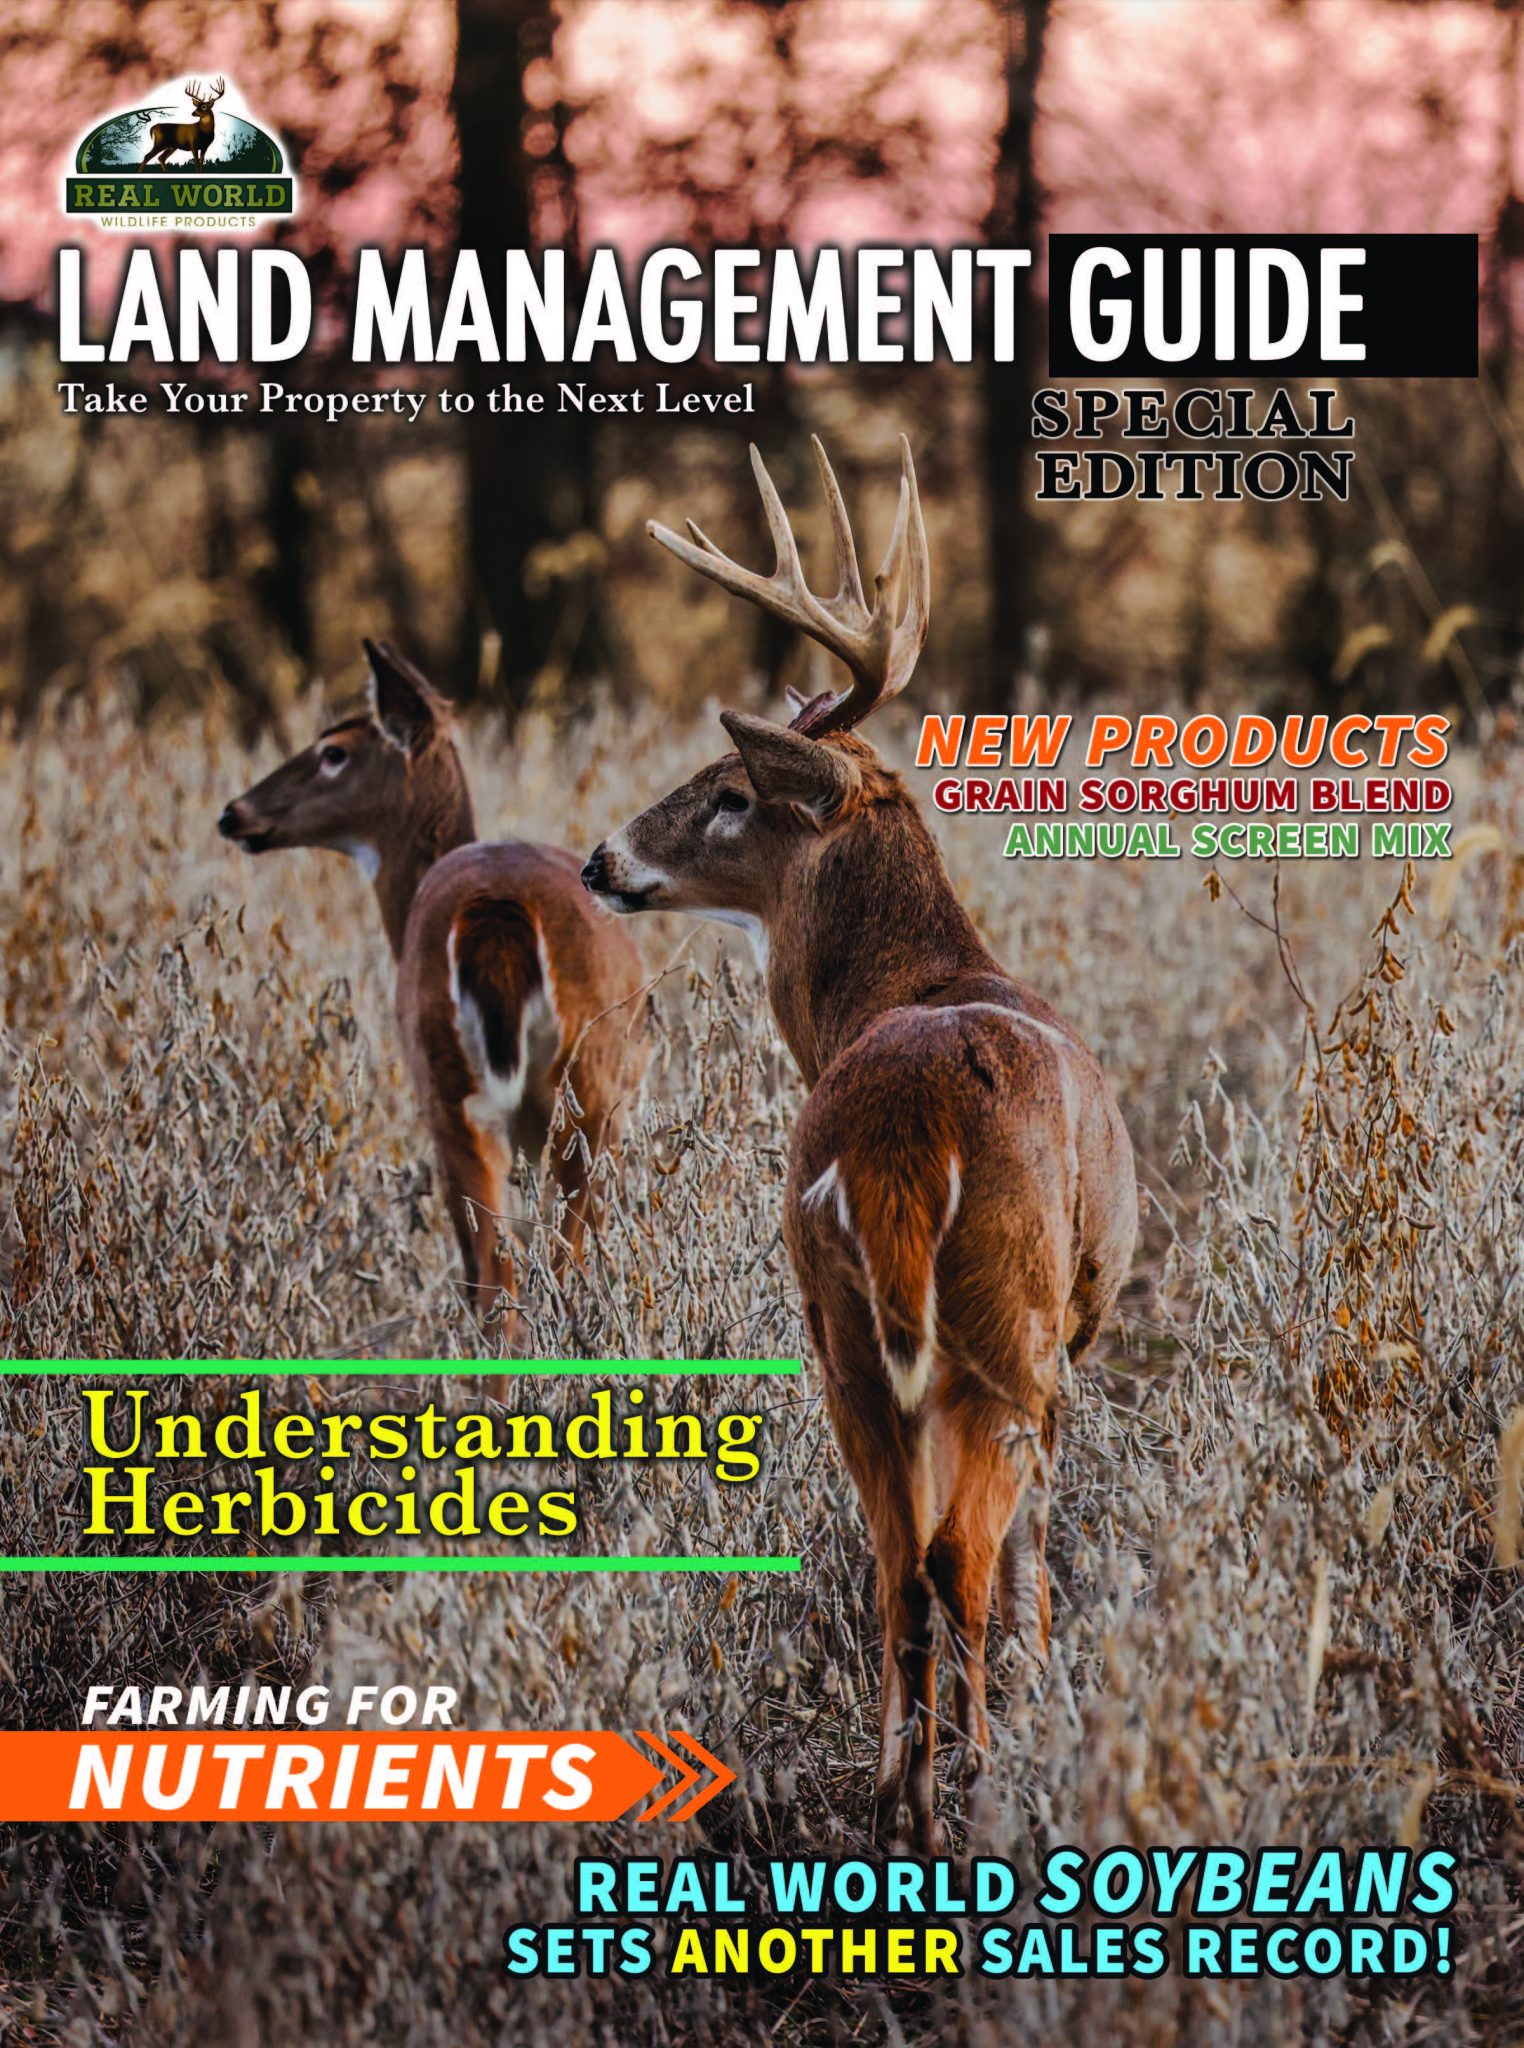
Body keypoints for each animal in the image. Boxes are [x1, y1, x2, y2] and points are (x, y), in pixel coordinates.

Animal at [219, 640, 649, 1311]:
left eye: (333, 751)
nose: (234, 813)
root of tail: (496, 908)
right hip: (579, 1095)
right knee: (542, 1270)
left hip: (459, 1090)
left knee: (500, 1277)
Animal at [581, 438, 1137, 1847]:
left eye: (731, 793)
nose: (599, 856)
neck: (917, 977)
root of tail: (906, 1145)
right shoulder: (1076, 1335)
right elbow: (1037, 1546)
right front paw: (1046, 1694)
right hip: (1000, 1330)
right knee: (958, 1558)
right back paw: (975, 1795)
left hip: (834, 1326)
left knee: (896, 1565)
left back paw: (901, 1804)